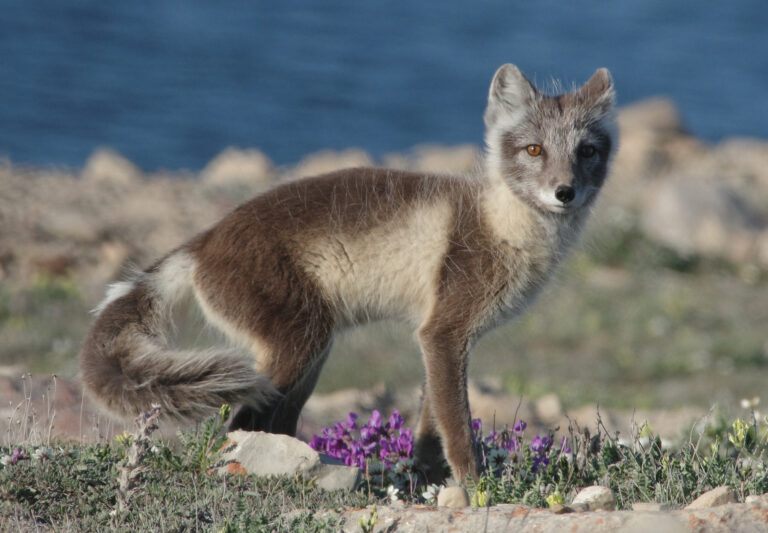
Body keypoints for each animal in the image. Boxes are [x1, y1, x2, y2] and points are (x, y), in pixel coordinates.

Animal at [80, 63, 617, 483]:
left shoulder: (439, 338)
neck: (502, 223)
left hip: (309, 356)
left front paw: (430, 481)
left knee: (271, 422)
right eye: (534, 151)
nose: (565, 192)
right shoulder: (444, 332)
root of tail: (204, 240)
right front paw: (476, 490)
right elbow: (459, 428)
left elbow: (430, 425)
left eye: (586, 151)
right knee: (238, 425)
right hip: (297, 343)